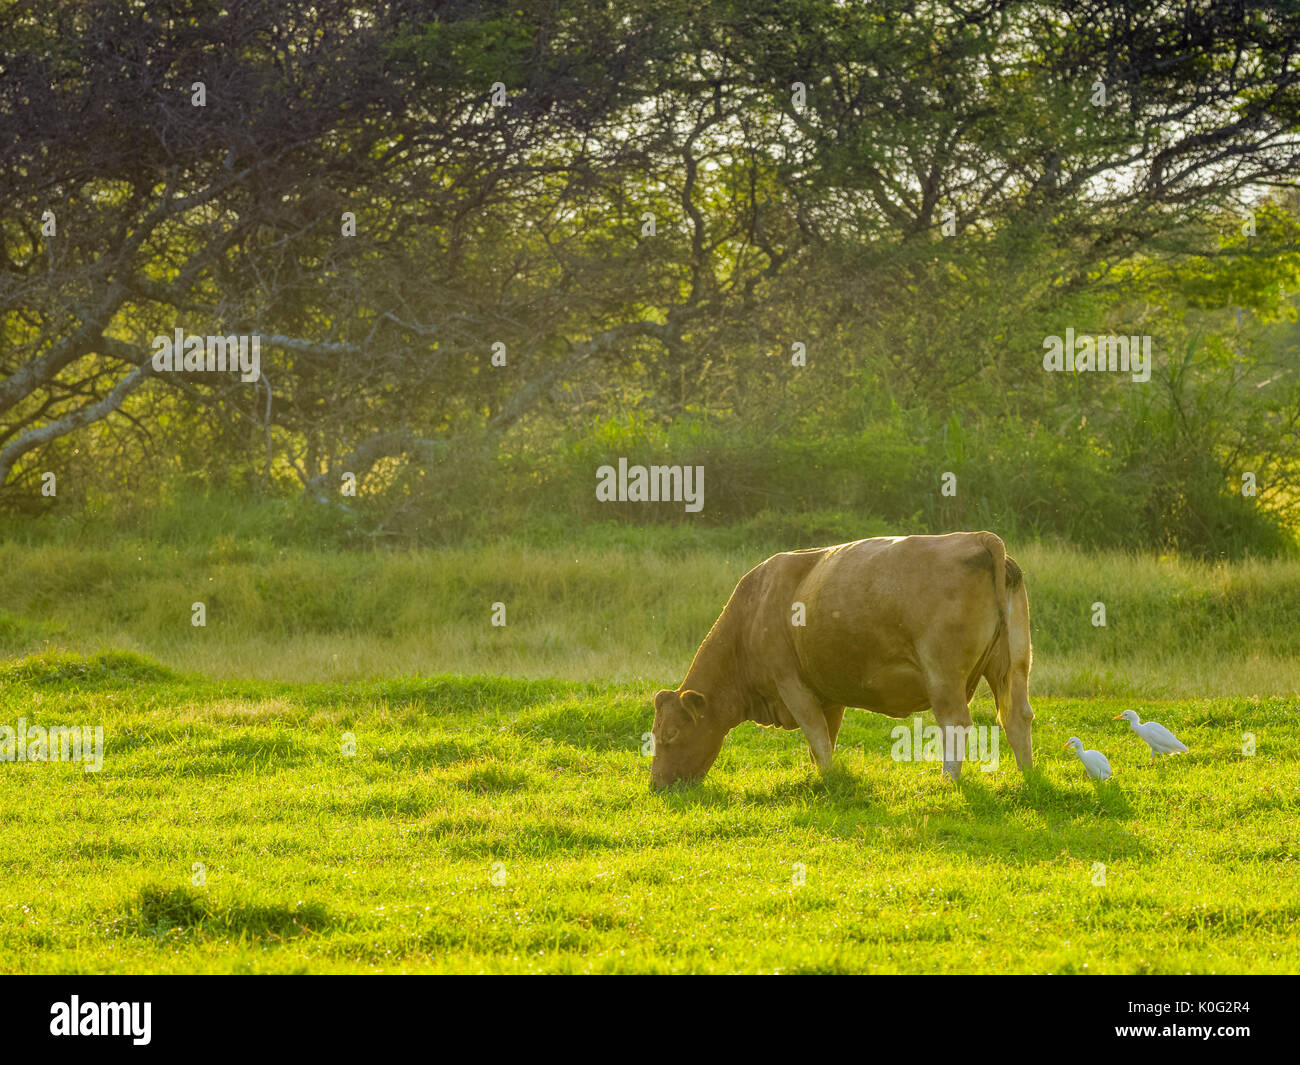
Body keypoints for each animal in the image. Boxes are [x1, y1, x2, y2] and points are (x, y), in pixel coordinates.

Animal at [649, 531, 1033, 788]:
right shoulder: (829, 695)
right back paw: (1027, 774)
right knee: (1017, 716)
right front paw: (825, 776)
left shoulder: (791, 684)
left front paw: (830, 779)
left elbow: (817, 738)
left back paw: (948, 780)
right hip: (1013, 664)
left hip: (943, 674)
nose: (656, 786)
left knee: (955, 722)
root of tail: (977, 538)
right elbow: (825, 740)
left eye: (669, 735)